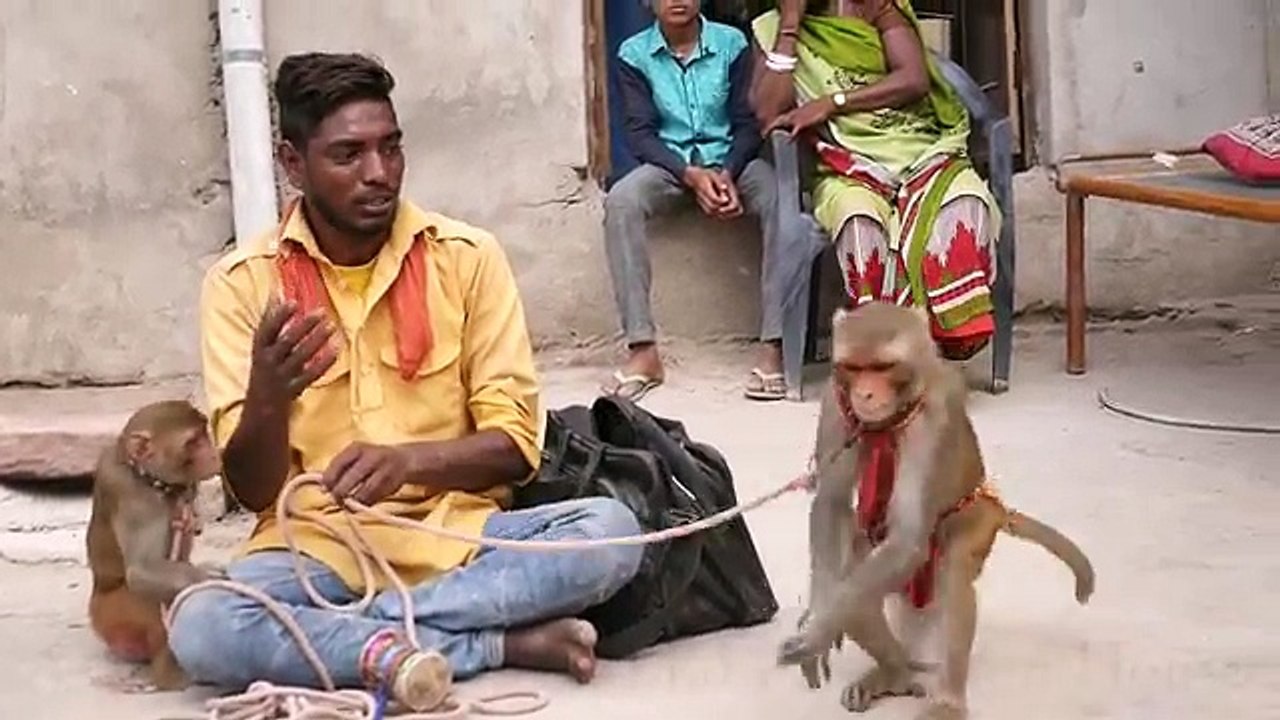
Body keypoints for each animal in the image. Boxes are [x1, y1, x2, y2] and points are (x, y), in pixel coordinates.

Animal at [85, 400, 224, 691]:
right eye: (193, 441)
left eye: (204, 433)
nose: (215, 454)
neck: (152, 480)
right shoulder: (136, 500)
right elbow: (141, 571)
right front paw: (208, 578)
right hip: (110, 617)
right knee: (149, 597)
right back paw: (168, 676)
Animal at [779, 303, 1096, 720]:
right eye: (855, 367)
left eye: (883, 367)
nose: (865, 393)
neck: (891, 419)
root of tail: (996, 506)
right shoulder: (836, 402)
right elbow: (831, 503)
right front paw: (819, 614)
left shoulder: (933, 421)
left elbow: (908, 535)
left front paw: (816, 634)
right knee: (855, 565)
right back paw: (894, 671)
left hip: (976, 524)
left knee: (954, 573)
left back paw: (947, 701)